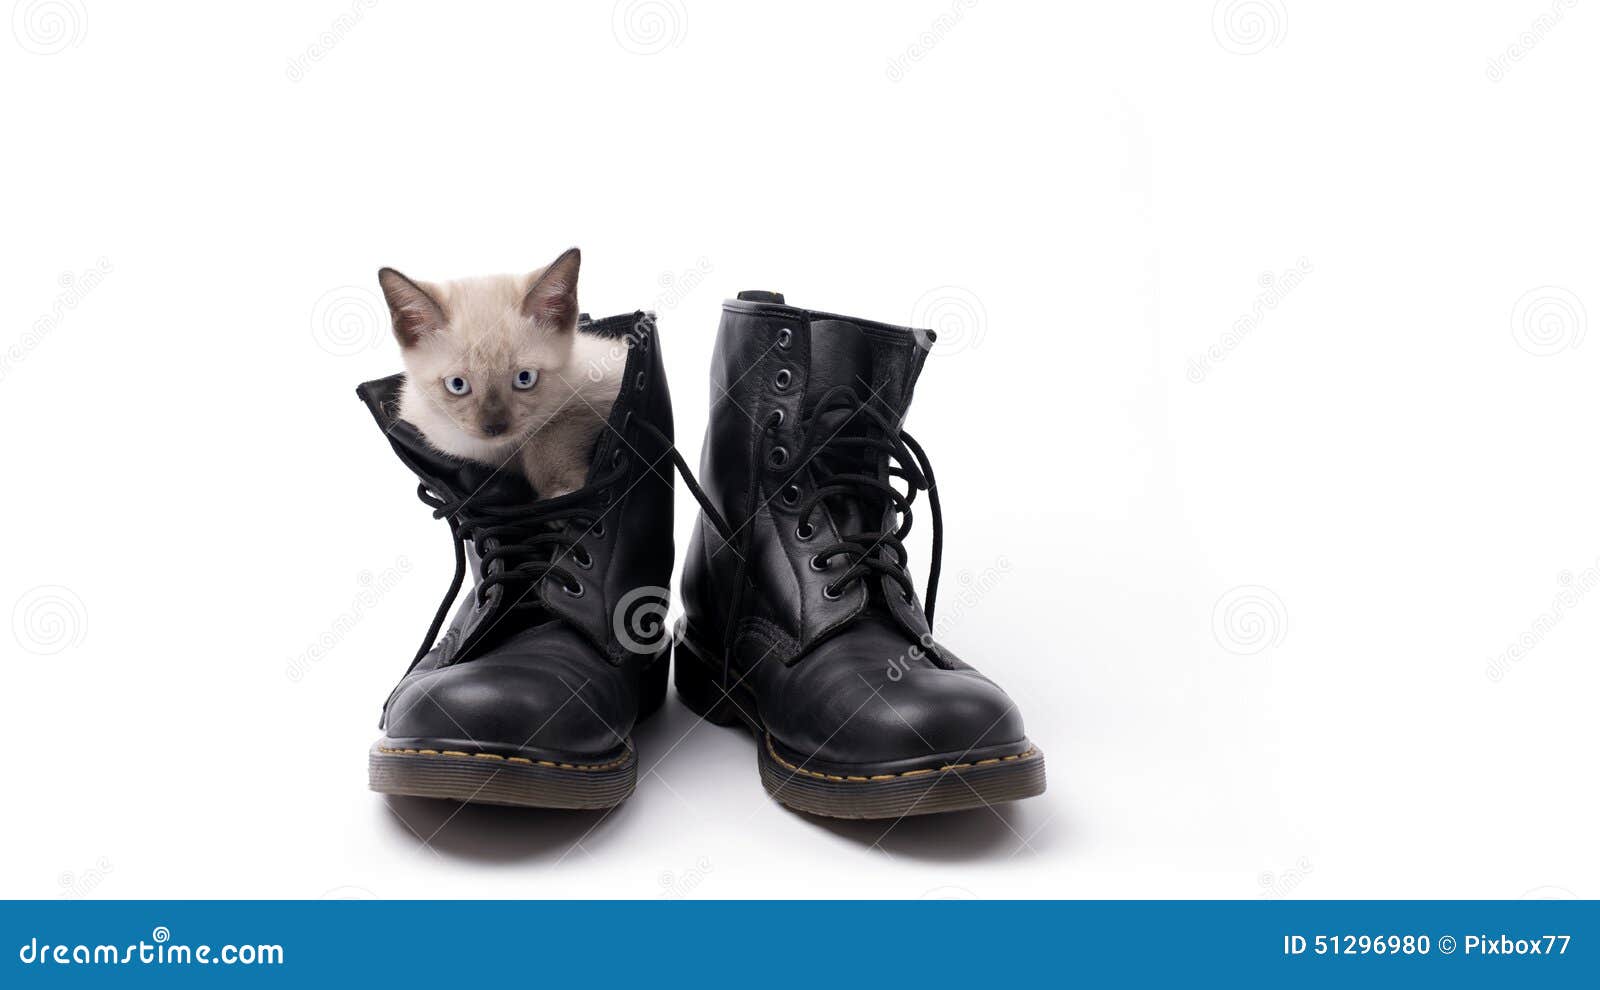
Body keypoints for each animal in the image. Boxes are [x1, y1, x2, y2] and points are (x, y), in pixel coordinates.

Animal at [377, 247, 620, 495]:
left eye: (525, 378)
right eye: (457, 384)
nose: (495, 427)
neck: (501, 454)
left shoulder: (599, 395)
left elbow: (546, 438)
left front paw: (564, 488)